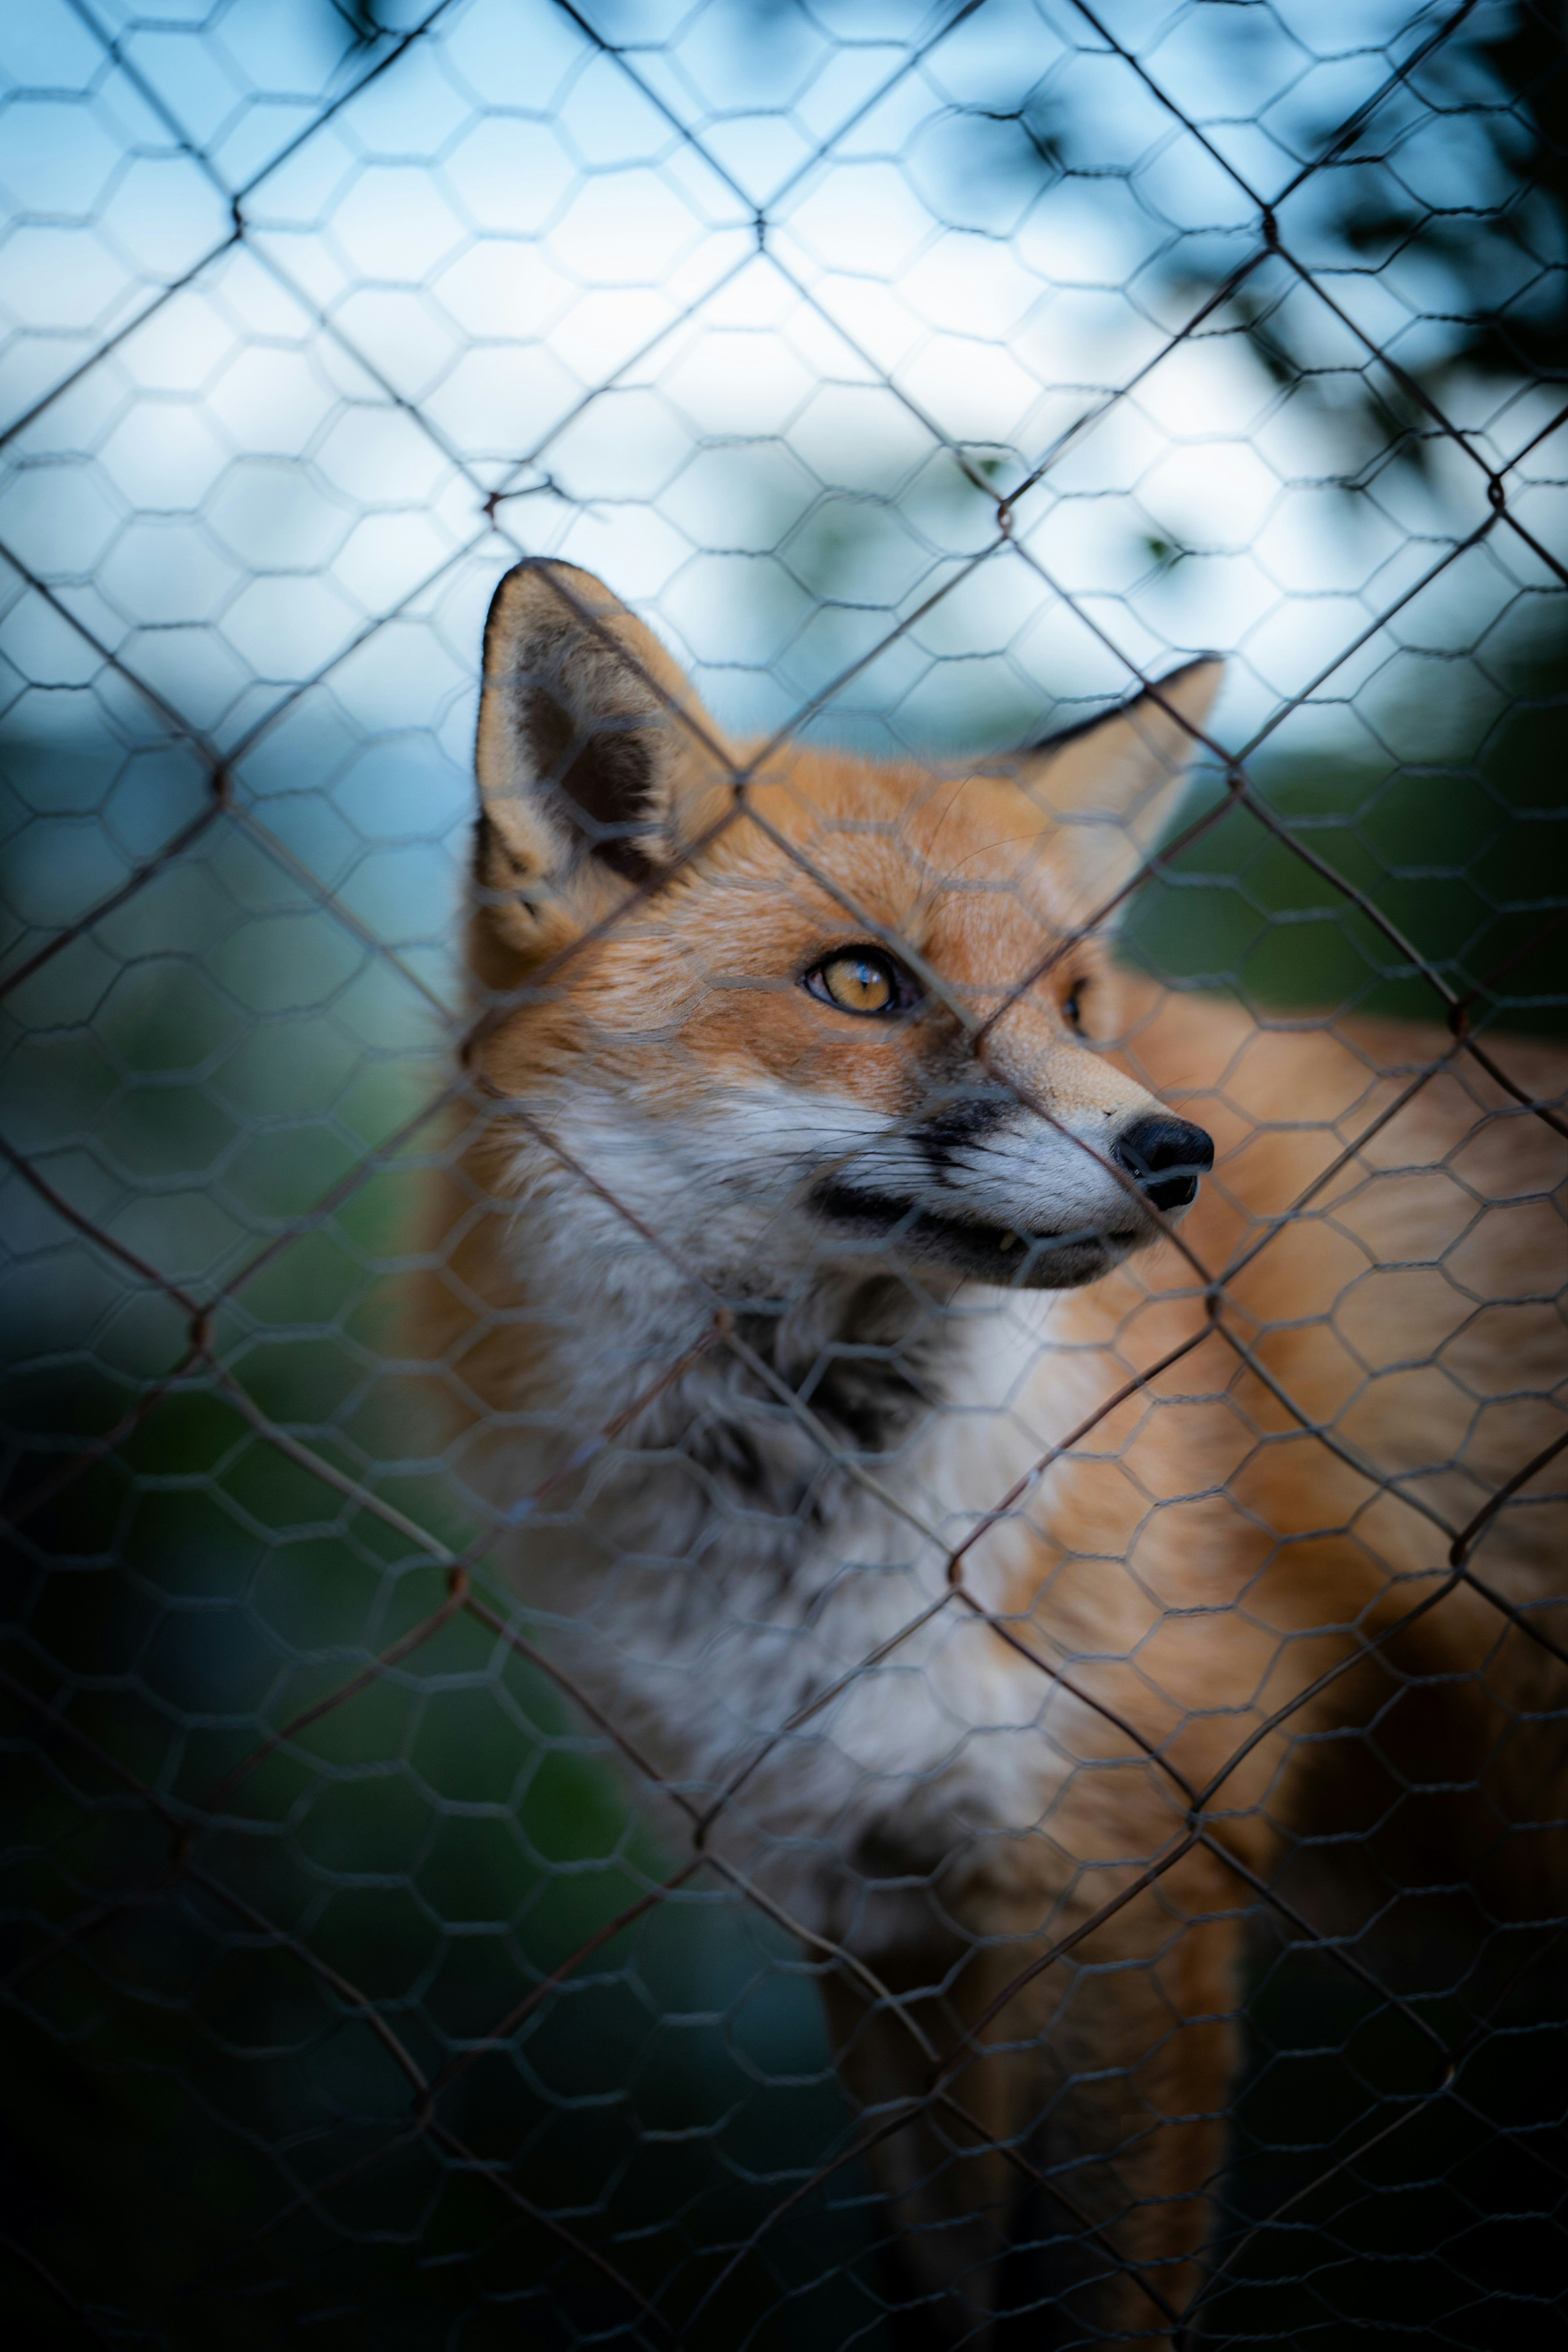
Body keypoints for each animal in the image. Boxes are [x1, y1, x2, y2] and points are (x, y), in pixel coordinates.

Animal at [416, 560, 1568, 2346]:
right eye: (862, 985)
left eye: (1082, 1004)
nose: (1172, 1153)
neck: (814, 1530)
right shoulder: (882, 1919)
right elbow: (944, 2292)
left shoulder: (1134, 1868)